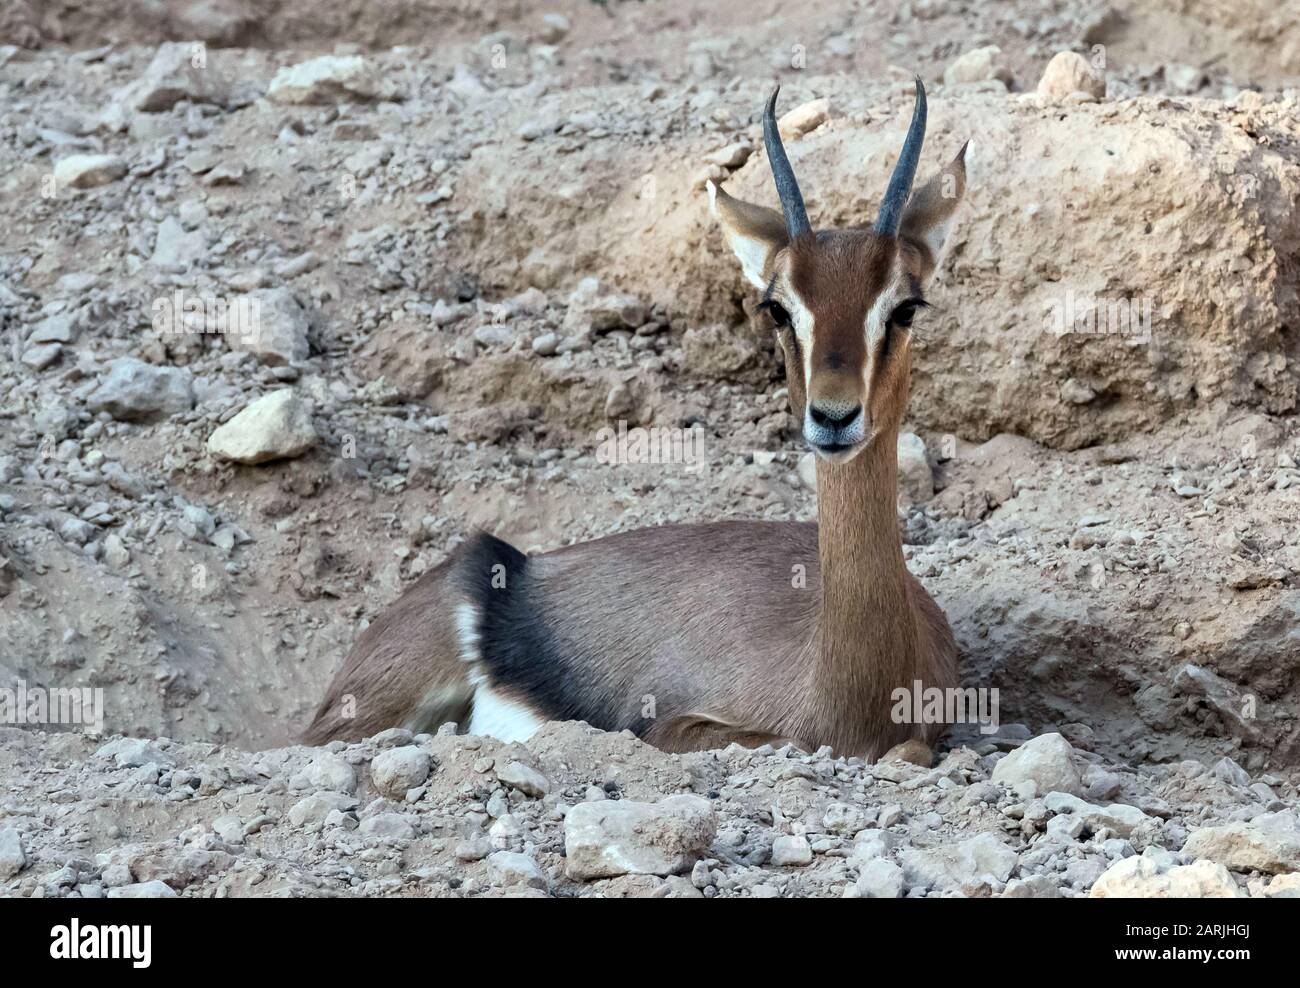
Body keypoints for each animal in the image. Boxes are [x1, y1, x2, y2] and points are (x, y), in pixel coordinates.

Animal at [304, 80, 966, 759]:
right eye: (778, 309)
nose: (833, 416)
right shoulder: (677, 727)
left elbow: (913, 748)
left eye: (906, 307)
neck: (839, 688)